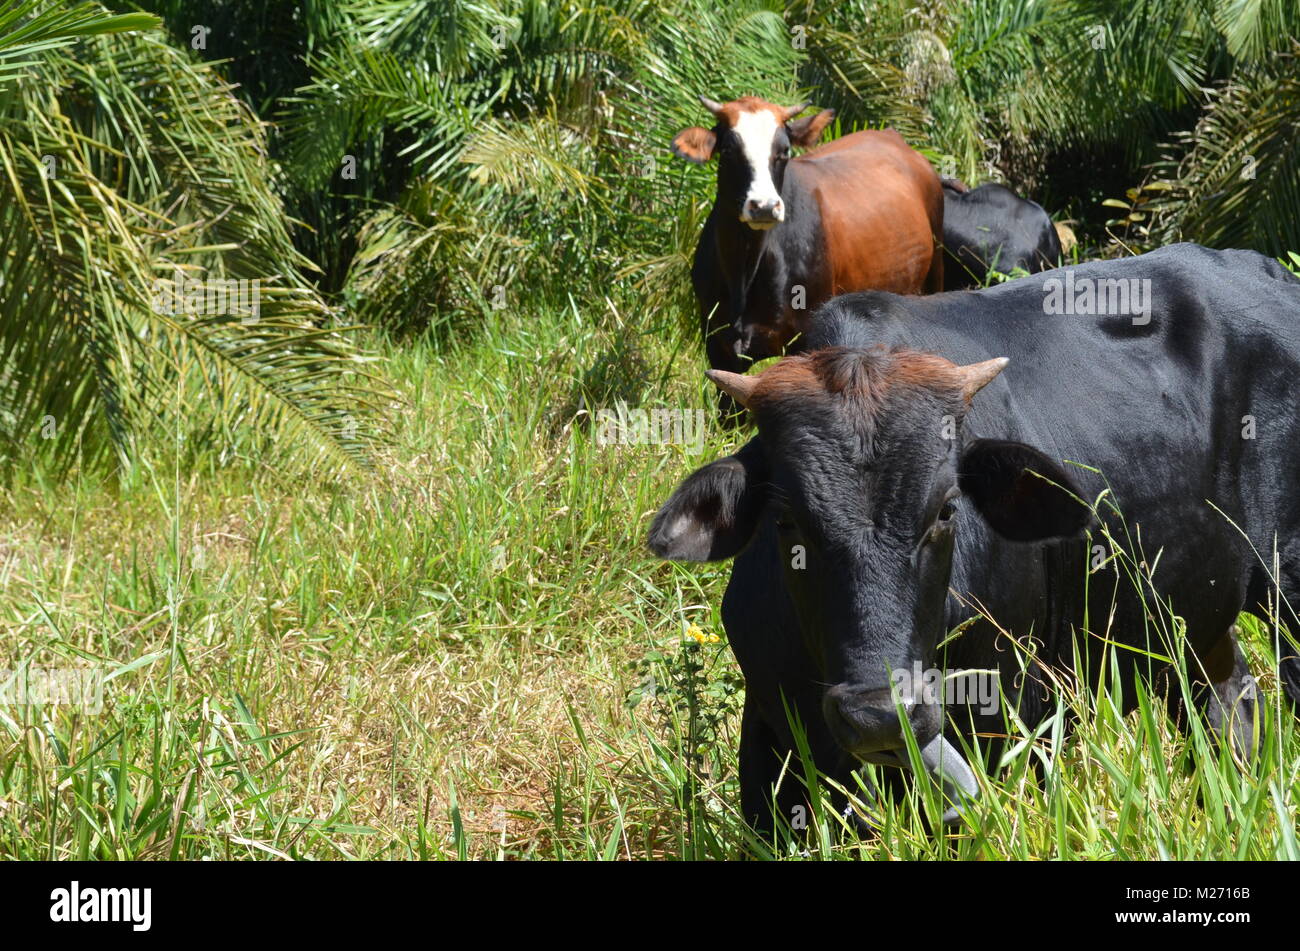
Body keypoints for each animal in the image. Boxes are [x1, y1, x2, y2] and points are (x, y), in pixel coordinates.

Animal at [647, 244, 1300, 835]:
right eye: (785, 522)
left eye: (946, 510)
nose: (878, 715)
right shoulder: (767, 734)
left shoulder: (1013, 715)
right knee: (1229, 699)